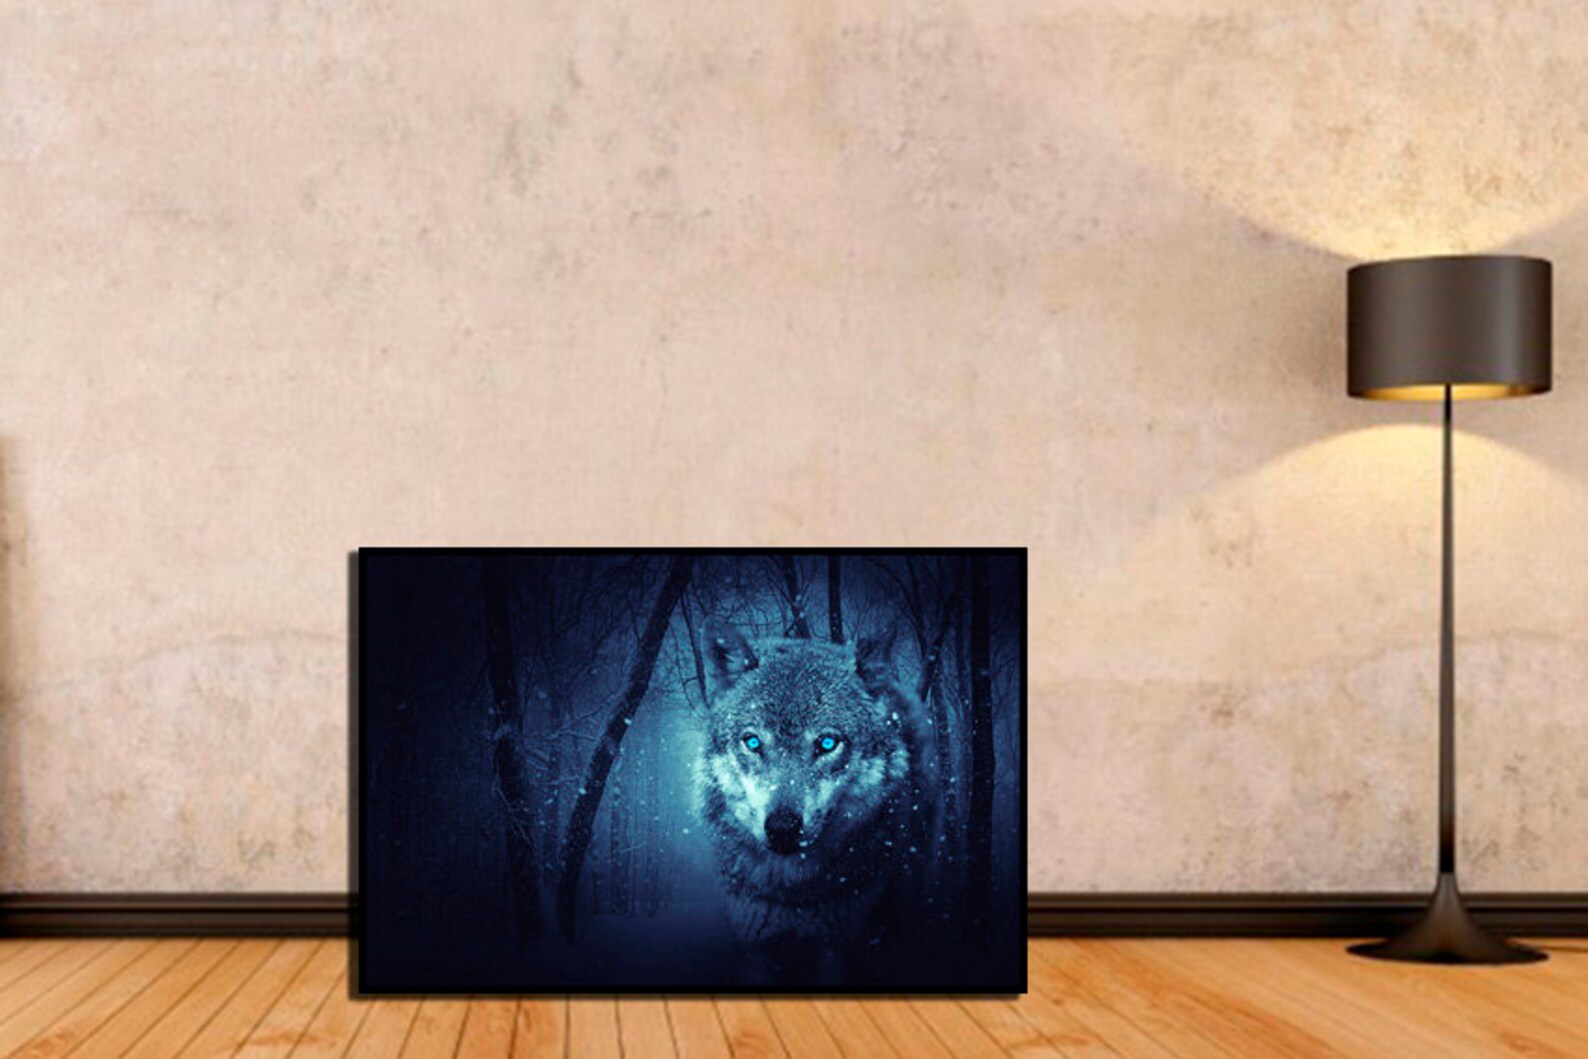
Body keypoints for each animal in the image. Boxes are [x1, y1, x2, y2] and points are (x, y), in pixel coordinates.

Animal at [696, 626, 942, 984]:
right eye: (753, 742)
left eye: (827, 743)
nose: (782, 827)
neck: (793, 893)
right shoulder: (755, 946)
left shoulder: (837, 945)